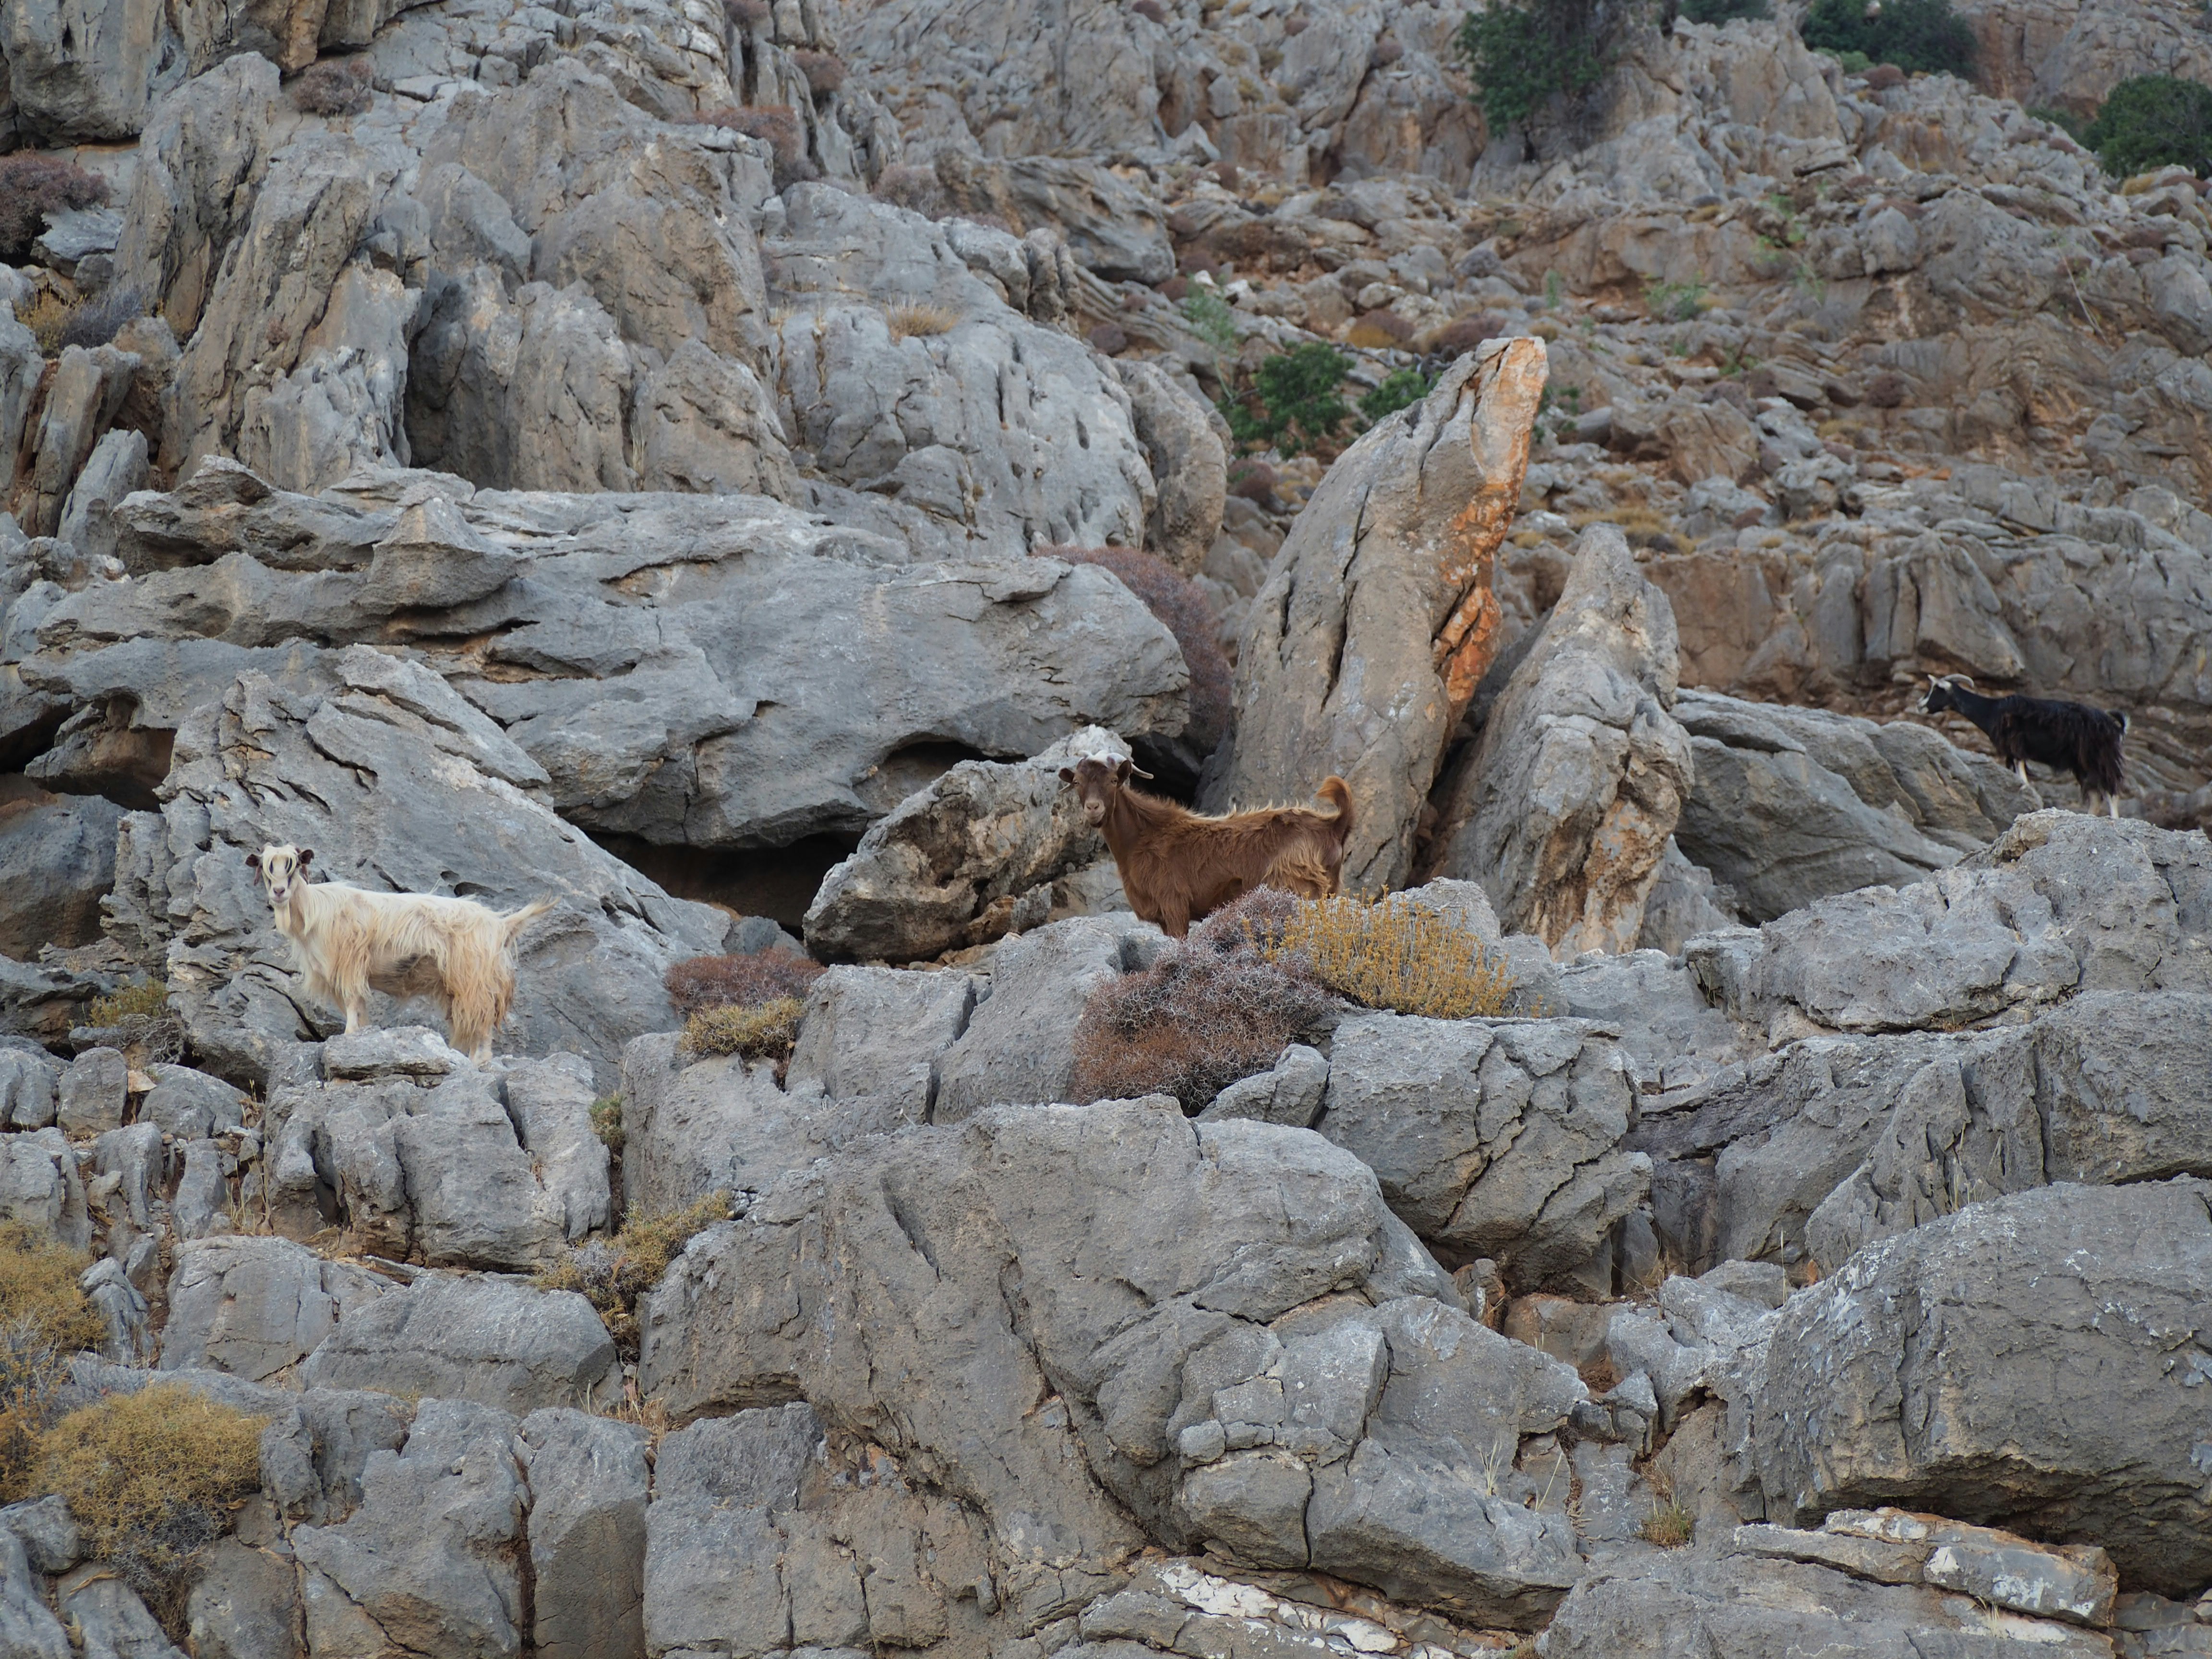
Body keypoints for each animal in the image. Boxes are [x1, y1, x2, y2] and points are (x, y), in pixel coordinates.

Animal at [247, 844, 553, 1061]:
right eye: (266, 868)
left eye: (294, 866)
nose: (278, 892)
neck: (314, 911)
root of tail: (501, 924)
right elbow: (358, 1009)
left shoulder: (350, 966)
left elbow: (353, 1005)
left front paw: (349, 1037)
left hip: (475, 981)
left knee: (483, 1024)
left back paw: (480, 1061)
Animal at [1058, 756, 1355, 938]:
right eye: (1077, 783)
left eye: (1113, 781)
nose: (1093, 808)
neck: (1143, 836)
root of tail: (1333, 824)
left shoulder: (1174, 903)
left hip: (1299, 887)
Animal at [1920, 675, 2129, 818]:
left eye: (1937, 690)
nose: (1919, 705)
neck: (1992, 710)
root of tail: (2115, 727)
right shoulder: (2011, 753)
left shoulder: (2016, 746)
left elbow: (2022, 775)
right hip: (2082, 766)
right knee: (2096, 796)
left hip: (2102, 759)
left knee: (2111, 791)